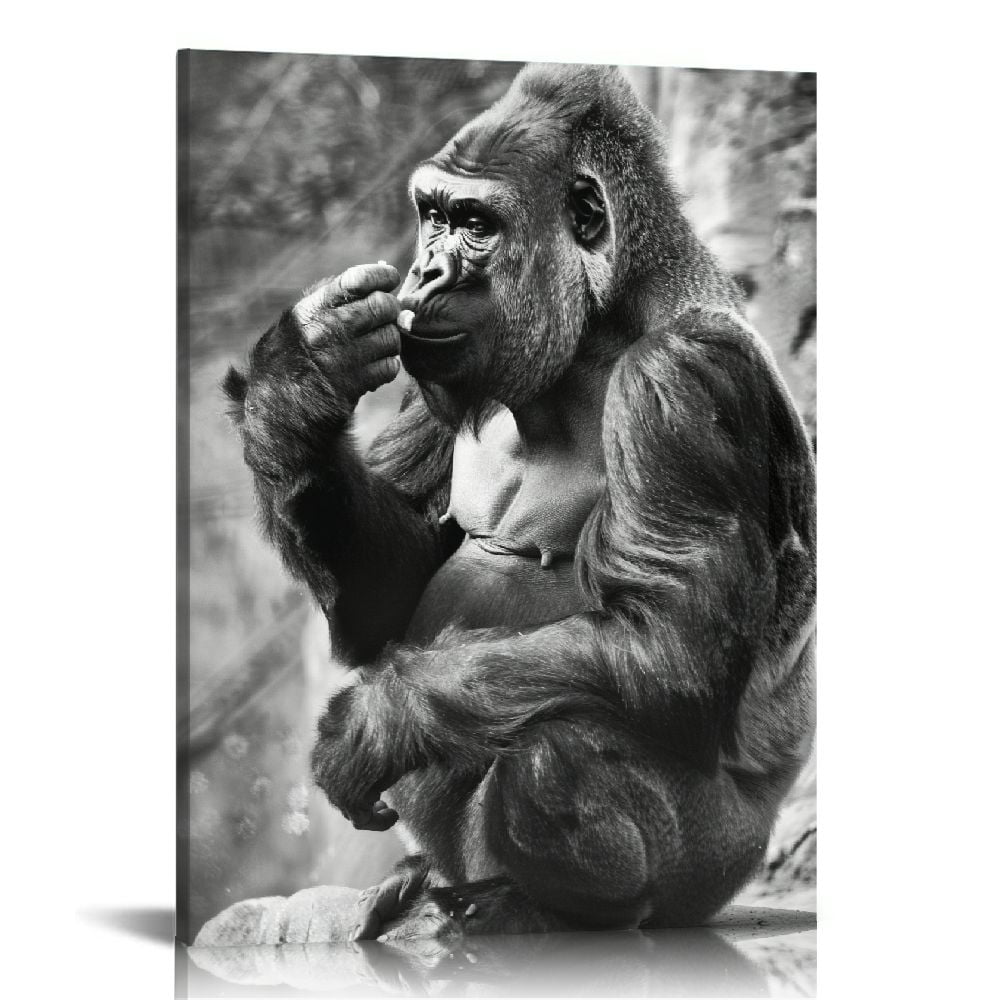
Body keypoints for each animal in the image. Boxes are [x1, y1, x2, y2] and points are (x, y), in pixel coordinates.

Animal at [221, 63, 816, 940]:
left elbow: (669, 651)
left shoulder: (680, 375)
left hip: (717, 869)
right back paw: (424, 885)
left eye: (476, 224)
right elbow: (388, 600)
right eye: (432, 216)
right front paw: (300, 384)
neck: (600, 322)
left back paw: (564, 912)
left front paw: (379, 721)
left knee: (554, 756)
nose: (425, 273)